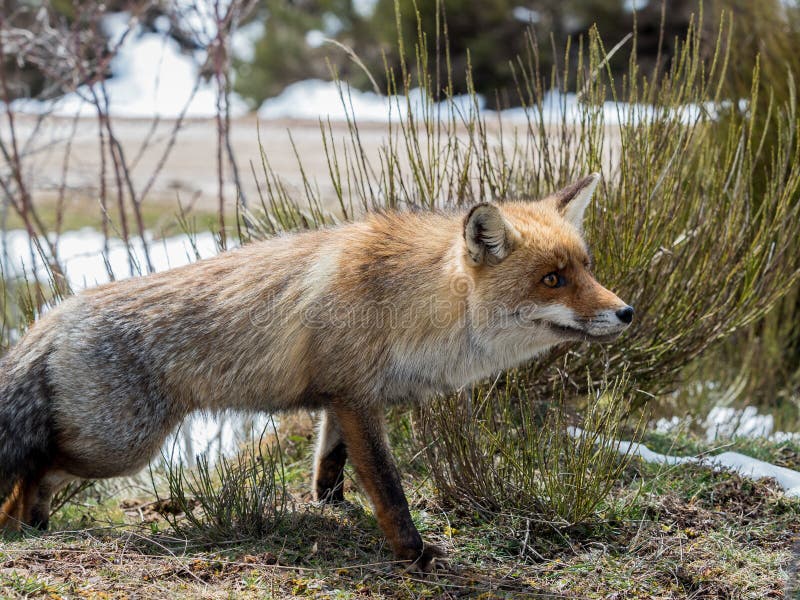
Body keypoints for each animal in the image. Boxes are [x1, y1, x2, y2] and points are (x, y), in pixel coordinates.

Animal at [0, 173, 632, 571]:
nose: (626, 312)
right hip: (119, 447)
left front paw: (329, 507)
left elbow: (330, 463)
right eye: (552, 279)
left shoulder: (342, 397)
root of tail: (50, 317)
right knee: (34, 468)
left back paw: (27, 526)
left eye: (585, 267)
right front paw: (412, 554)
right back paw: (22, 527)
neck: (413, 305)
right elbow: (388, 487)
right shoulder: (356, 396)